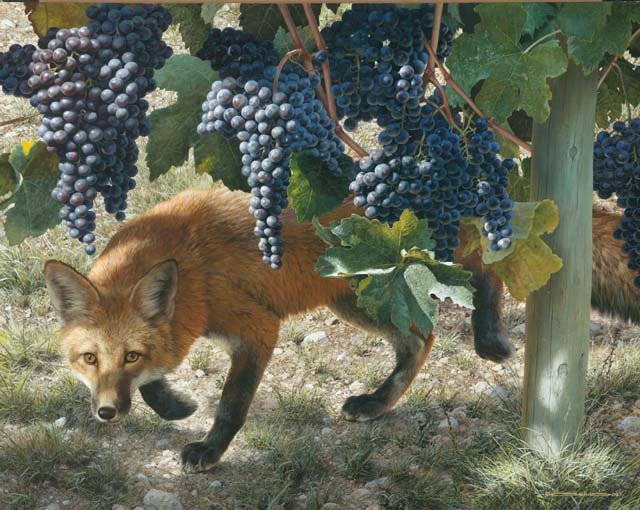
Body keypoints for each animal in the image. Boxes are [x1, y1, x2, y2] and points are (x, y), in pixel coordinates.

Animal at [43, 189, 640, 473]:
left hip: (405, 273)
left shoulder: (256, 329)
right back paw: (378, 402)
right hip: (357, 297)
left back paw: (489, 335)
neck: (189, 275)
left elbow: (232, 406)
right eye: (90, 359)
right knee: (419, 338)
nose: (105, 414)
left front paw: (209, 450)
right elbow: (159, 386)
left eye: (130, 355)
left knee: (481, 270)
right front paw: (173, 406)